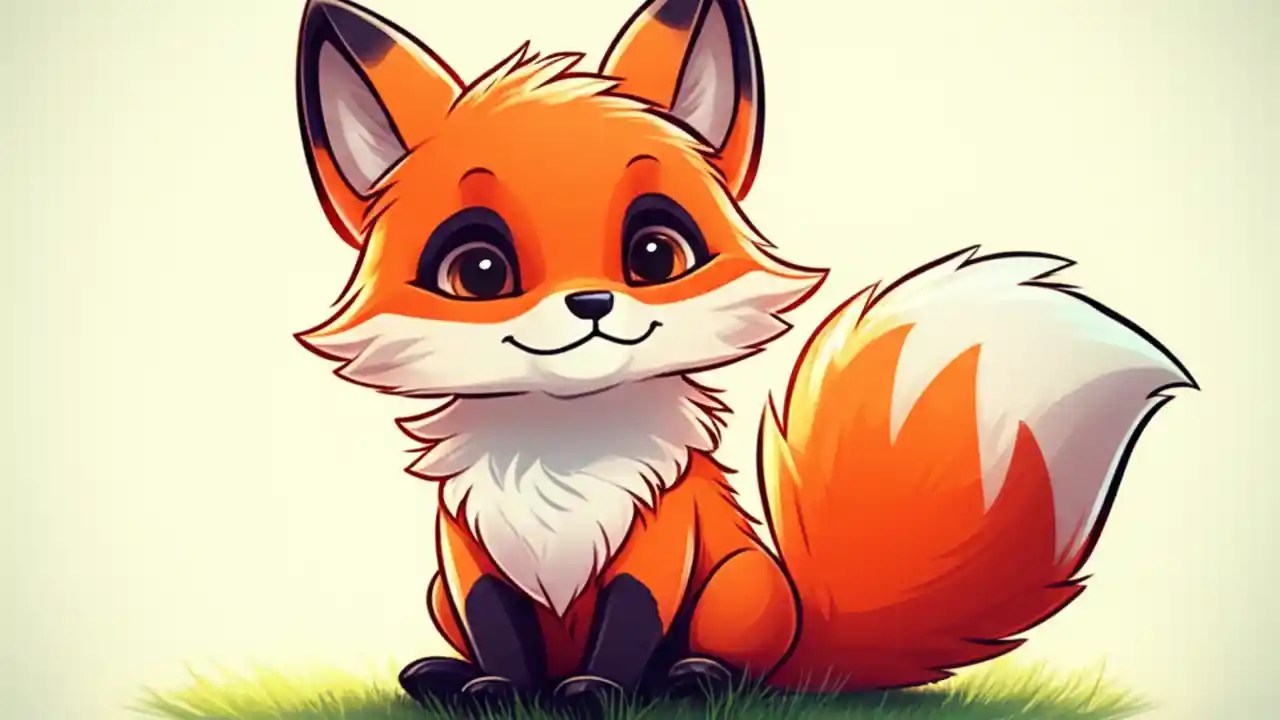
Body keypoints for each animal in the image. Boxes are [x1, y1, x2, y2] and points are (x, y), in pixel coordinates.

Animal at [291, 0, 1195, 714]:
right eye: (479, 272)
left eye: (655, 254)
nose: (591, 304)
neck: (562, 449)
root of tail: (809, 646)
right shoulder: (469, 558)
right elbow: (502, 636)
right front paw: (501, 693)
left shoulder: (662, 545)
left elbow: (628, 623)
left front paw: (596, 692)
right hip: (437, 596)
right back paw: (447, 676)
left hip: (739, 588)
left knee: (734, 667)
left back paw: (689, 679)